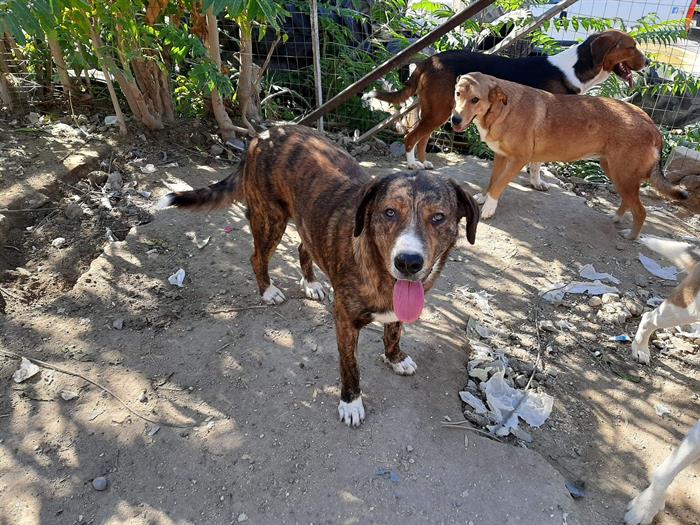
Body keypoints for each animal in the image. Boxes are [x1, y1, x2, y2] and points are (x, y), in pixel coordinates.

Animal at [157, 126, 482, 426]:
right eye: (389, 212)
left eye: (438, 217)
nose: (408, 262)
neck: (380, 271)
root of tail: (263, 134)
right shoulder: (345, 319)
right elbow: (350, 365)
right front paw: (351, 402)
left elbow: (393, 332)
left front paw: (395, 358)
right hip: (270, 219)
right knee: (257, 257)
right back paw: (268, 291)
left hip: (305, 221)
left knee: (303, 247)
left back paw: (311, 284)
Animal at [448, 71, 688, 237]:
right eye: (457, 94)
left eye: (475, 100)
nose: (455, 120)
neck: (502, 109)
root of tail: (651, 123)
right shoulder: (501, 156)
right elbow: (493, 180)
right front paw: (483, 197)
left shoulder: (518, 159)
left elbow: (499, 185)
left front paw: (489, 208)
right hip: (616, 171)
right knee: (628, 201)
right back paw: (616, 218)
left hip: (623, 175)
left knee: (641, 211)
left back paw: (630, 236)